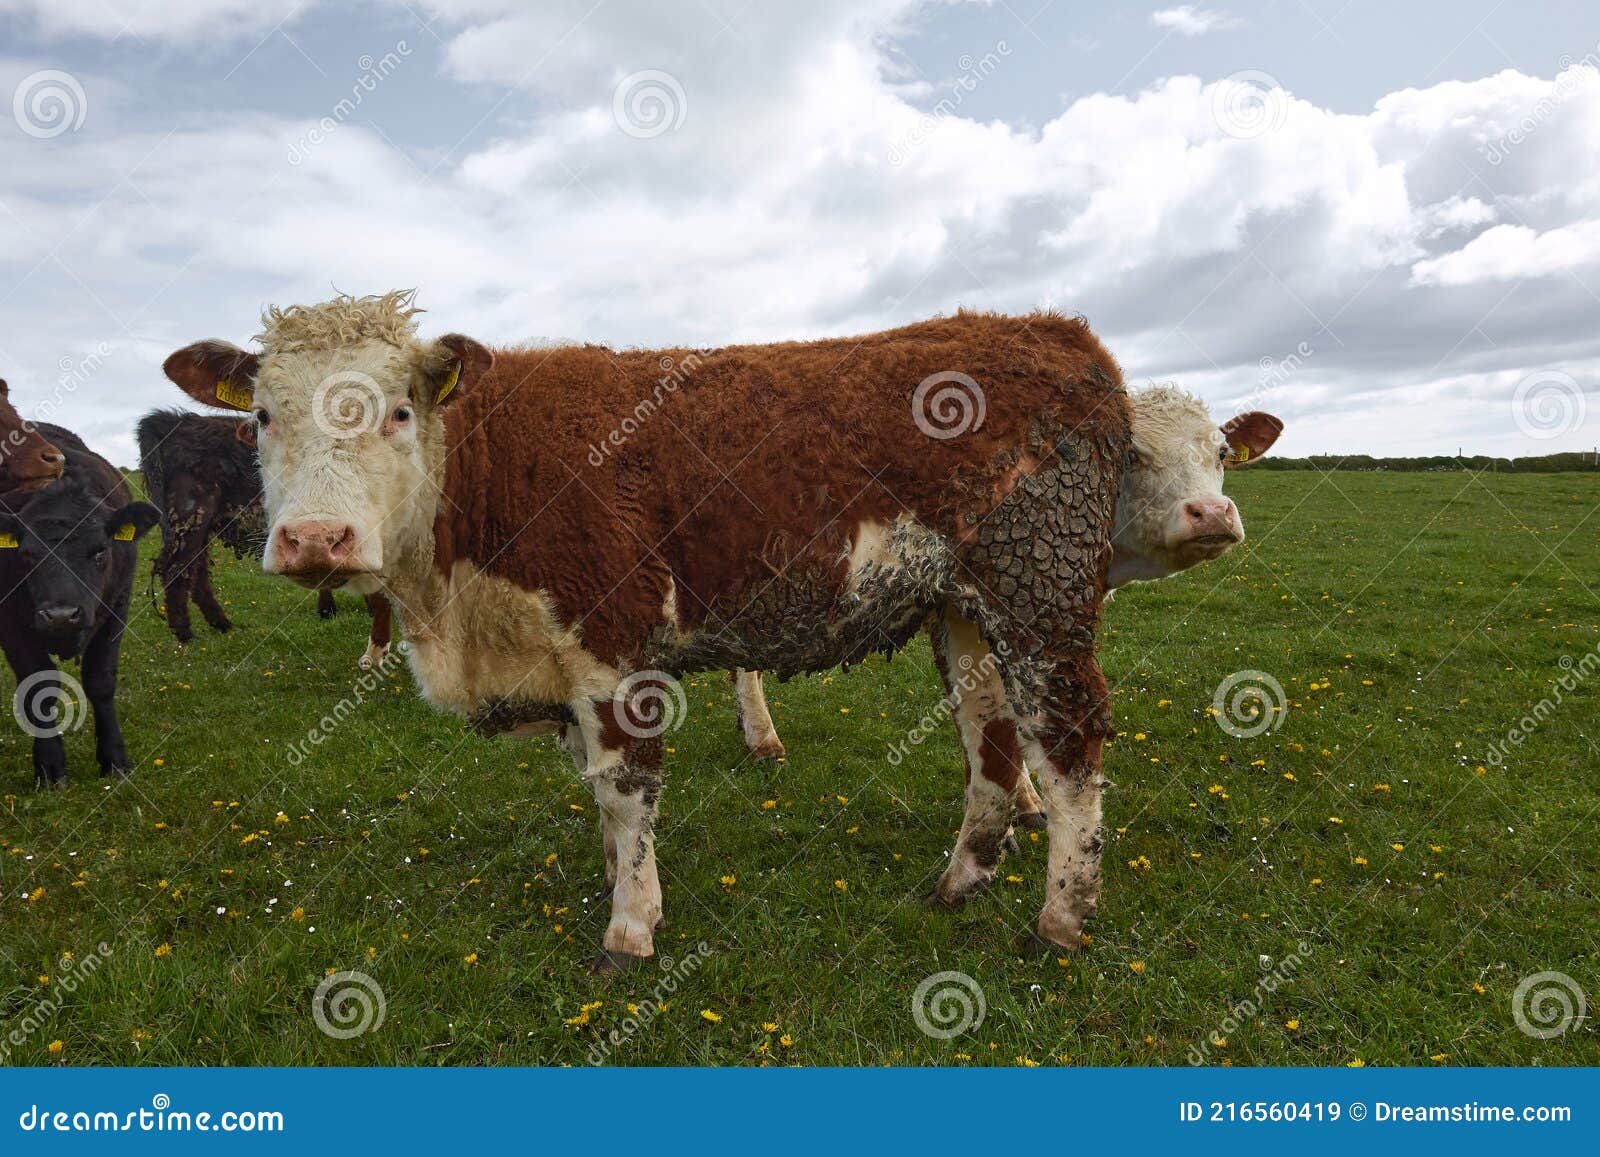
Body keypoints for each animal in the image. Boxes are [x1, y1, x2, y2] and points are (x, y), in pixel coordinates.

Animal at [0, 423, 159, 788]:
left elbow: (100, 682)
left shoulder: (117, 608)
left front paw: (115, 759)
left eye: (100, 550)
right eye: (26, 554)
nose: (61, 616)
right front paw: (50, 768)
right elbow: (38, 685)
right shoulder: (9, 623)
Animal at [137, 409, 393, 667]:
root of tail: (171, 420)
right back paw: (185, 634)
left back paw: (222, 625)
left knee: (197, 572)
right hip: (190, 518)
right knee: (176, 571)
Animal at [165, 292, 1132, 967]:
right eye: (261, 415)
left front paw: (630, 925)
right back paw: (961, 878)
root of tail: (1052, 332)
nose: (314, 538)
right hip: (965, 610)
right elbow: (594, 785)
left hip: (1038, 588)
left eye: (400, 410)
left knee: (1067, 740)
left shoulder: (614, 641)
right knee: (989, 738)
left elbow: (627, 788)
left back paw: (1060, 918)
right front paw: (611, 879)